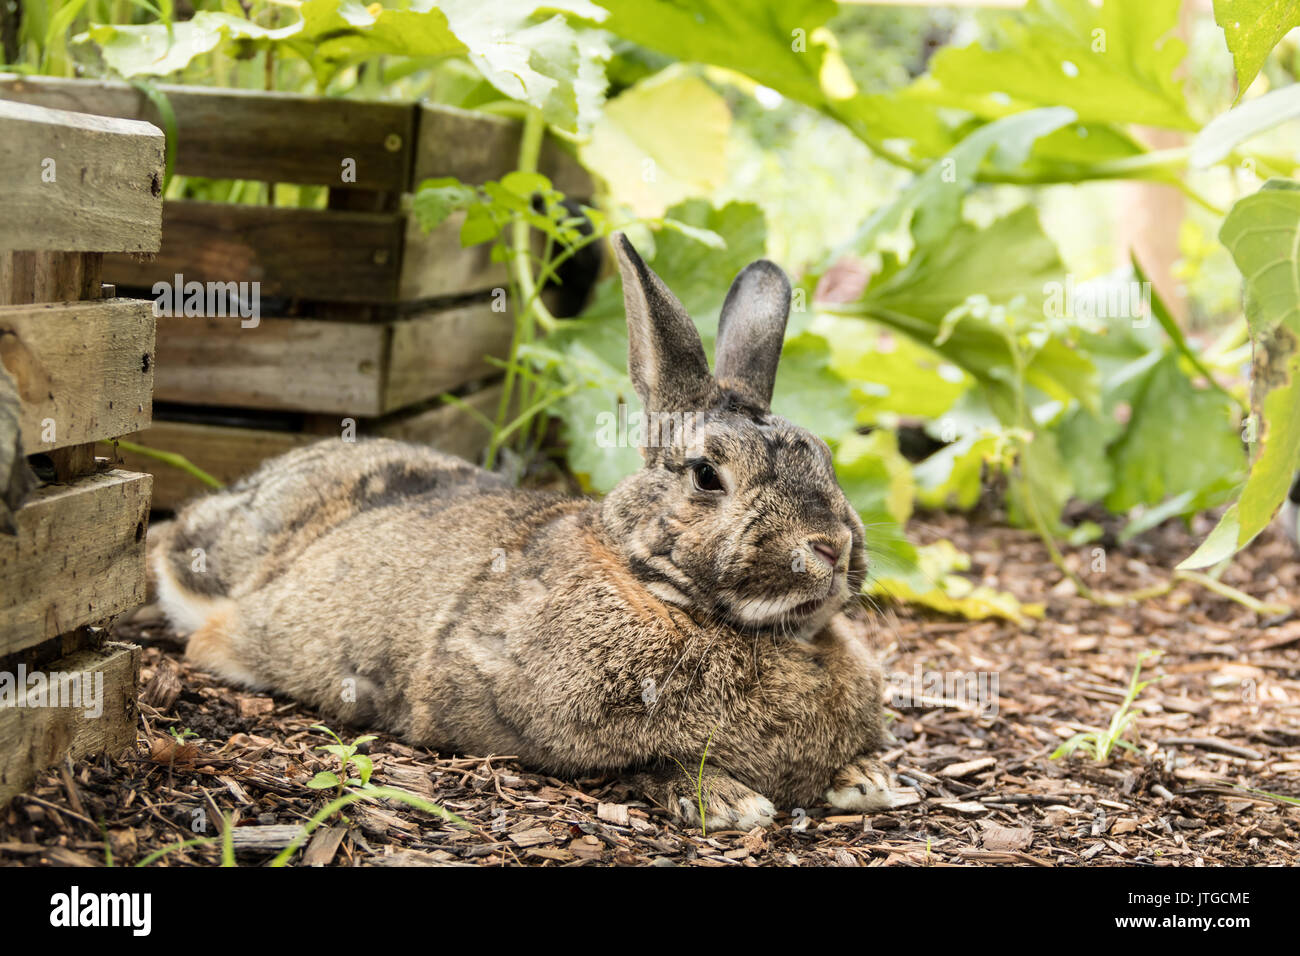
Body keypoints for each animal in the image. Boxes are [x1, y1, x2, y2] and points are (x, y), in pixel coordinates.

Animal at [149, 234, 912, 830]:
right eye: (705, 475)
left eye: (828, 459)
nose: (831, 547)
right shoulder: (511, 718)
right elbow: (643, 761)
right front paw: (729, 801)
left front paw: (868, 782)